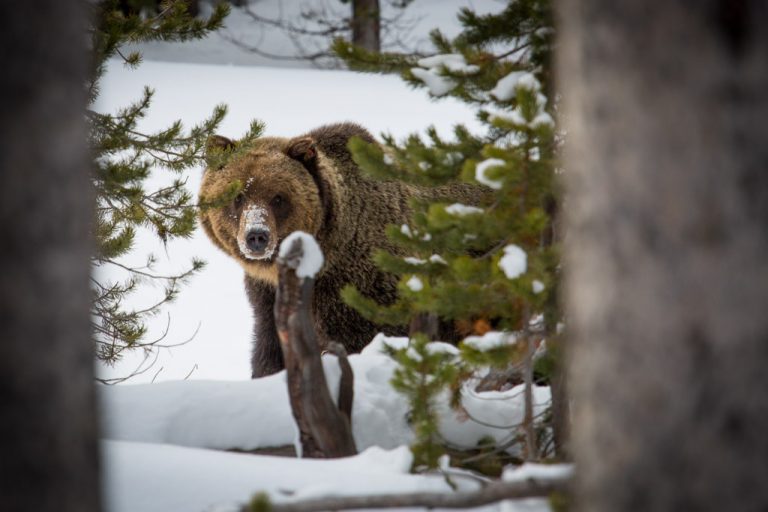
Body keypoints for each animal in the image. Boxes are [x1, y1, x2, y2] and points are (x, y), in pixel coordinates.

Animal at [199, 122, 487, 378]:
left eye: (278, 197)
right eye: (237, 197)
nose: (256, 236)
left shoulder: (359, 291)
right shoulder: (267, 296)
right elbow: (270, 351)